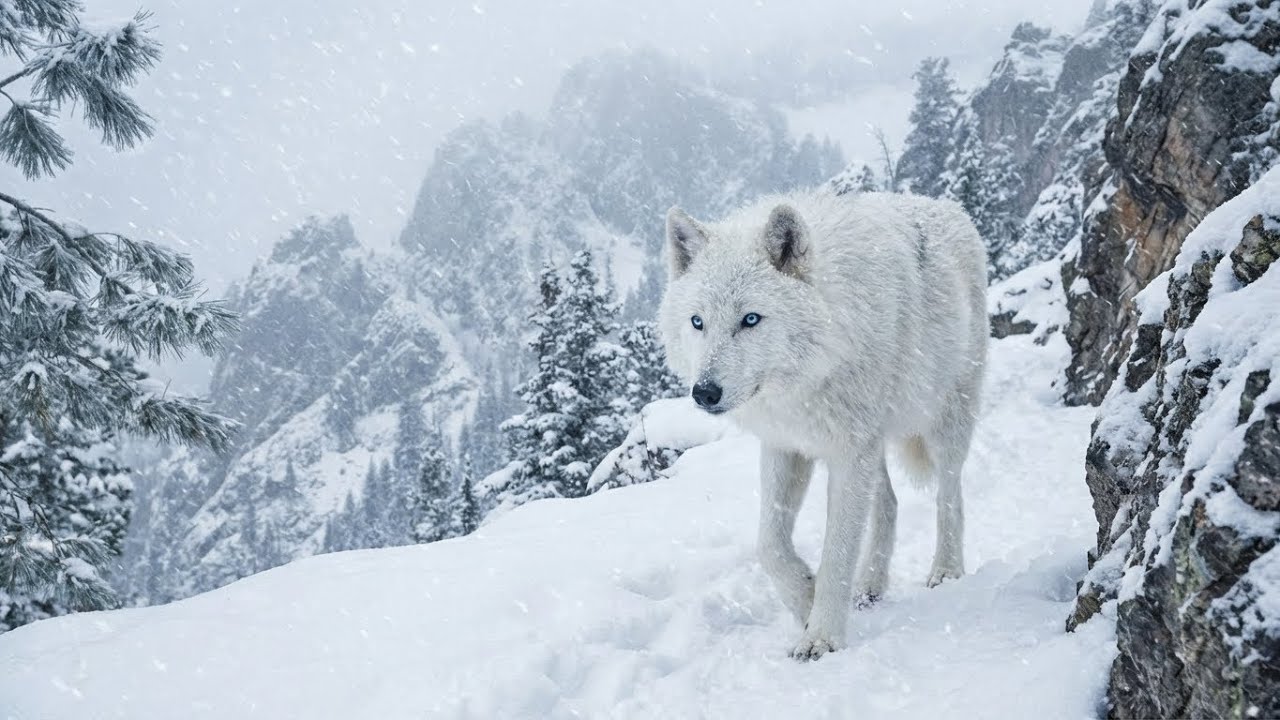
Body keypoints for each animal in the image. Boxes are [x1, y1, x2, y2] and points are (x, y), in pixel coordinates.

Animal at [658, 189, 988, 660]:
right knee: (889, 503)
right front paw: (806, 601)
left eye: (750, 319)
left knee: (950, 496)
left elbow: (837, 550)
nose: (704, 392)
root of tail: (947, 206)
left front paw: (822, 637)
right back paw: (869, 587)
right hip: (874, 444)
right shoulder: (786, 446)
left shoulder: (848, 453)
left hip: (944, 421)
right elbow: (769, 546)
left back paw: (945, 570)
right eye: (697, 322)